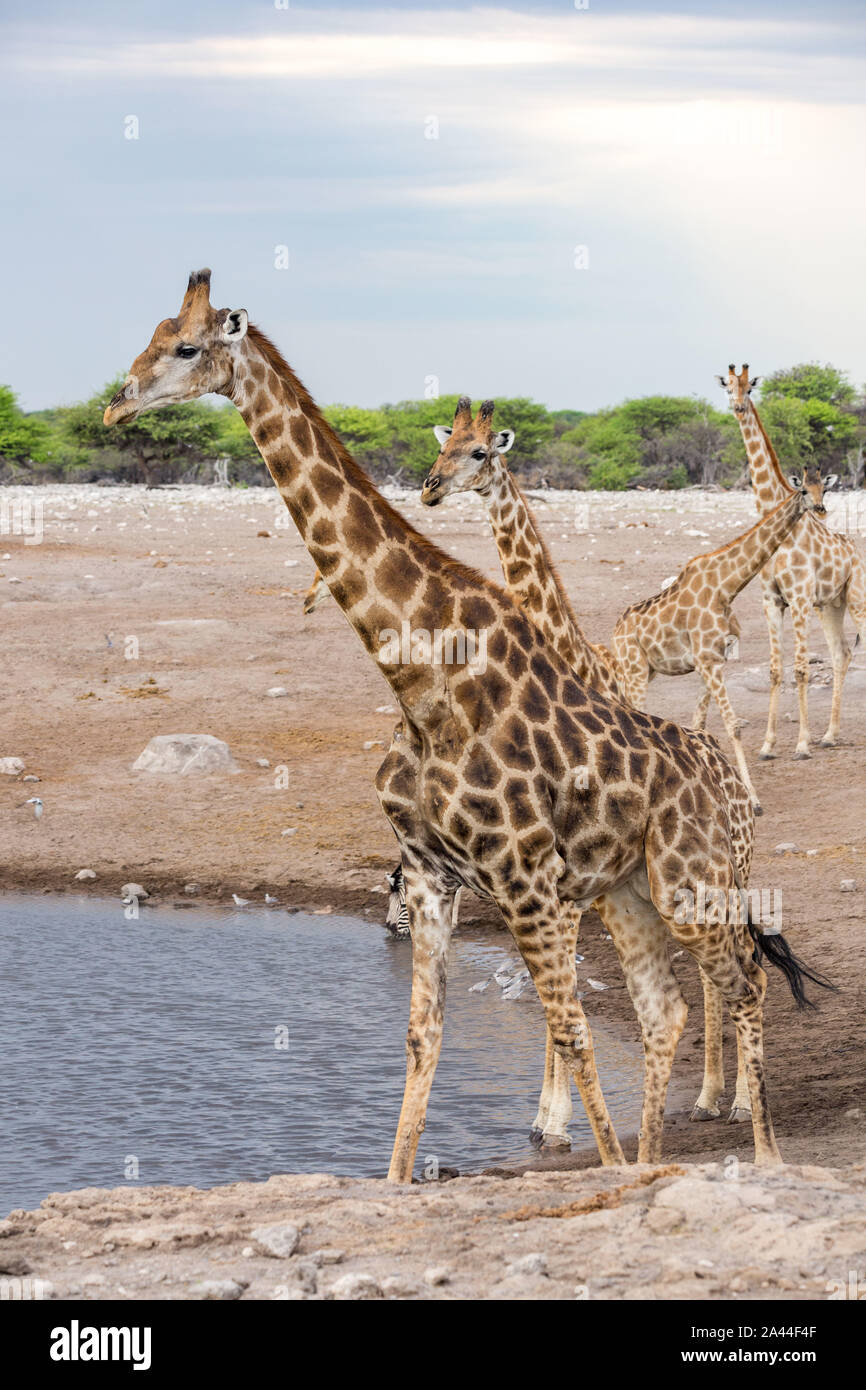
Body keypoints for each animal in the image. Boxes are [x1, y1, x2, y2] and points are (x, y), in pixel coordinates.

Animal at [421, 399, 762, 1132]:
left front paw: (554, 1118)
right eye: (444, 442)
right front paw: (547, 1116)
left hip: (725, 873)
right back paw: (712, 1095)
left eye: (480, 452)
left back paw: (731, 1098)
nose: (430, 488)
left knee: (729, 972)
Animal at [610, 483, 824, 816]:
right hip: (634, 670)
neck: (726, 587)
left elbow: (699, 723)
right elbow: (733, 725)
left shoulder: (711, 660)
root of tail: (615, 633)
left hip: (644, 671)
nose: (820, 507)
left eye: (823, 488)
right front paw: (754, 800)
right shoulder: (708, 661)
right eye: (803, 489)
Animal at [718, 365, 866, 760]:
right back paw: (830, 734)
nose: (738, 407)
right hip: (831, 605)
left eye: (750, 386)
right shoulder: (773, 601)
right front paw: (769, 745)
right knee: (841, 653)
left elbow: (800, 669)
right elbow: (775, 670)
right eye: (727, 386)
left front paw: (801, 743)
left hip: (856, 599)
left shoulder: (799, 598)